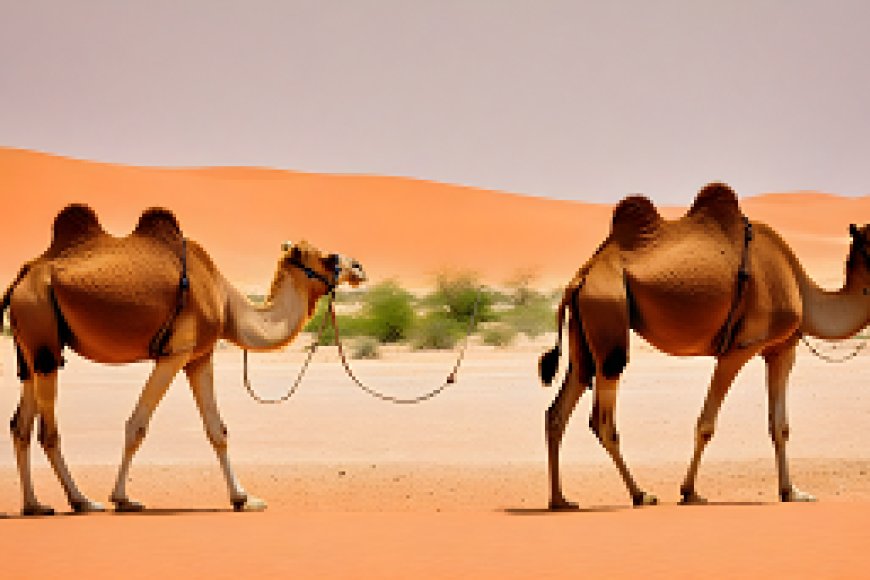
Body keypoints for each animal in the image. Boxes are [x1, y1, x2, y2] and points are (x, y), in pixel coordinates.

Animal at [1, 204, 365, 515]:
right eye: (328, 257)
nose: (358, 267)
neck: (225, 302)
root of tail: (20, 278)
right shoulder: (176, 353)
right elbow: (137, 425)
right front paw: (122, 498)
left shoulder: (200, 357)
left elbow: (217, 429)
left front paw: (244, 498)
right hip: (42, 331)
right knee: (47, 431)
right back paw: (82, 501)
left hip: (31, 349)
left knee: (20, 425)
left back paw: (35, 505)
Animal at [539, 183, 870, 509]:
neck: (799, 287)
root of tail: (581, 275)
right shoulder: (740, 347)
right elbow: (706, 424)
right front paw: (690, 492)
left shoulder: (781, 350)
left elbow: (780, 427)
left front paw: (792, 492)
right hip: (608, 306)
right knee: (602, 415)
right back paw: (641, 494)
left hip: (584, 331)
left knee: (560, 405)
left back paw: (560, 499)